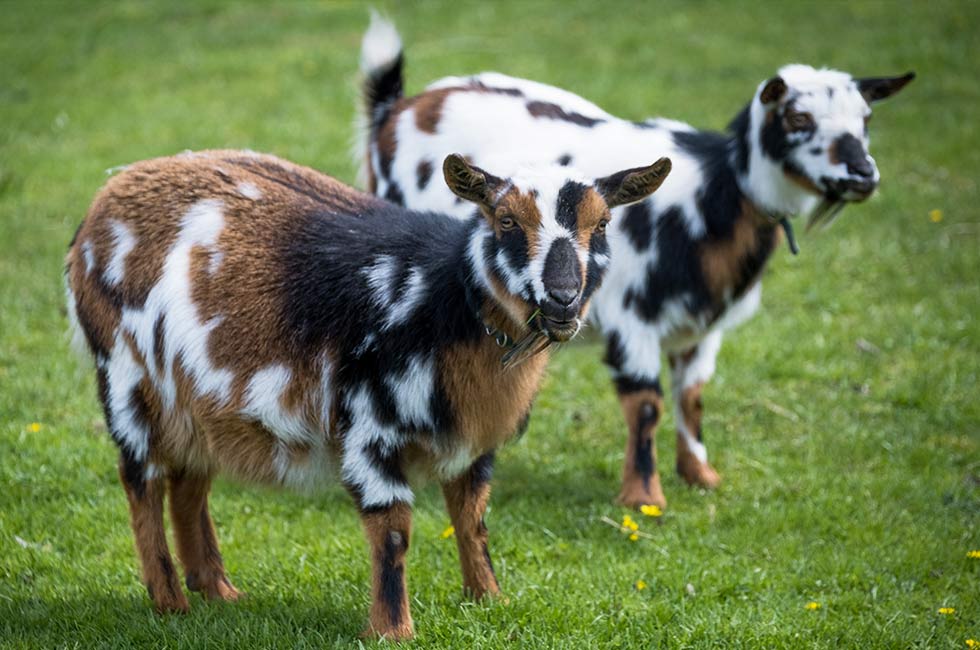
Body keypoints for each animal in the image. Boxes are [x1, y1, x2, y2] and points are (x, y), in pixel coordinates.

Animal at [64, 148, 669, 639]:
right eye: (505, 221)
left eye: (603, 222)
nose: (563, 298)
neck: (441, 300)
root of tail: (103, 201)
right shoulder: (370, 423)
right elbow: (393, 527)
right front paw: (392, 630)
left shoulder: (475, 441)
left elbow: (472, 516)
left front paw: (488, 600)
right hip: (125, 376)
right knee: (141, 479)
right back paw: (169, 602)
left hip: (198, 399)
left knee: (189, 483)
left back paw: (217, 590)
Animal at [358, 14, 913, 509]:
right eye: (799, 119)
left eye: (866, 120)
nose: (863, 175)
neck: (711, 197)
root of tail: (397, 109)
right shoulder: (633, 317)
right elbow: (646, 405)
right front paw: (644, 497)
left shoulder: (701, 325)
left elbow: (692, 395)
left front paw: (701, 475)